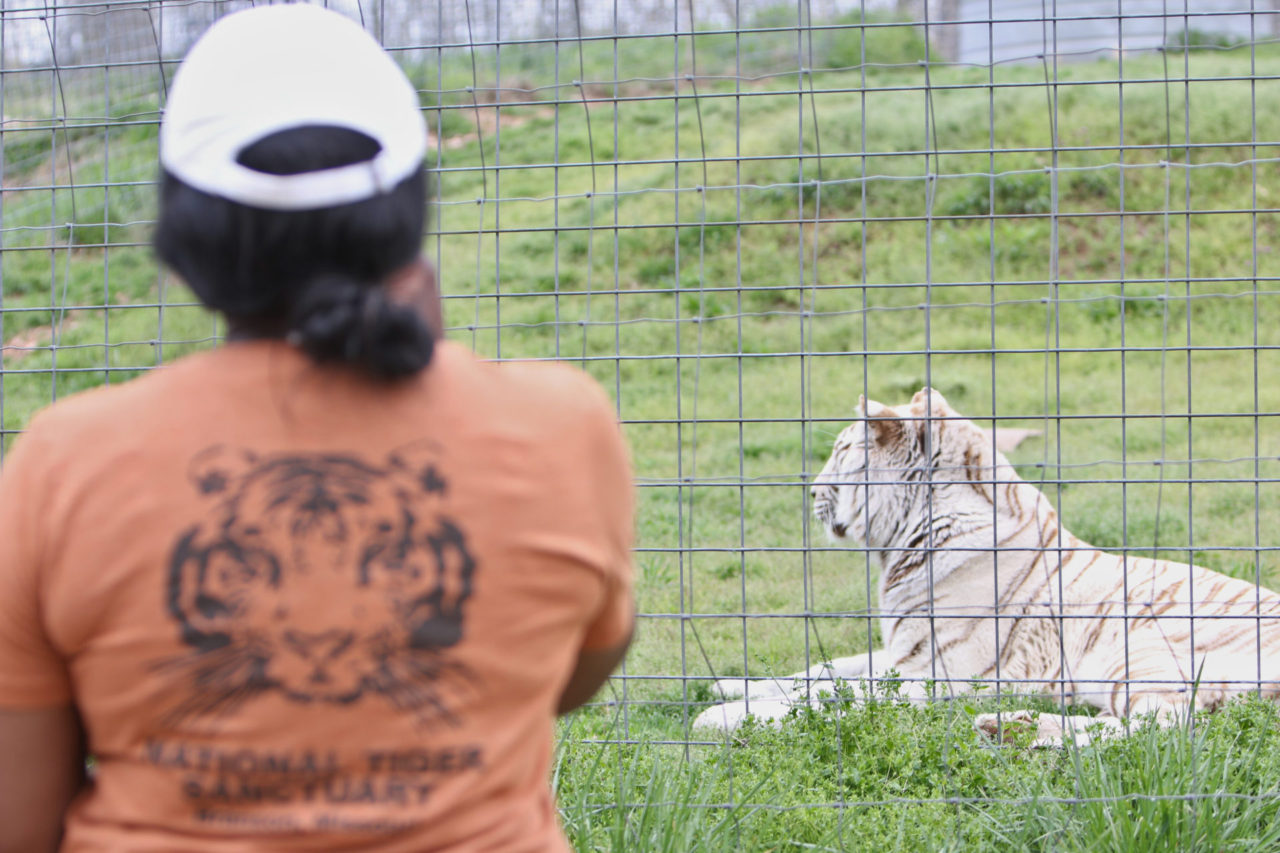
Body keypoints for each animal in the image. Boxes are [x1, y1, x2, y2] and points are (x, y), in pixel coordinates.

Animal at [694, 387, 1280, 746]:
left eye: (840, 452)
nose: (811, 492)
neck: (910, 538)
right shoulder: (904, 652)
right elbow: (825, 669)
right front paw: (728, 686)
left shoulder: (941, 673)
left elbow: (835, 695)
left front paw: (718, 716)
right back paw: (1009, 727)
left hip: (1137, 653)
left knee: (1163, 727)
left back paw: (1014, 730)